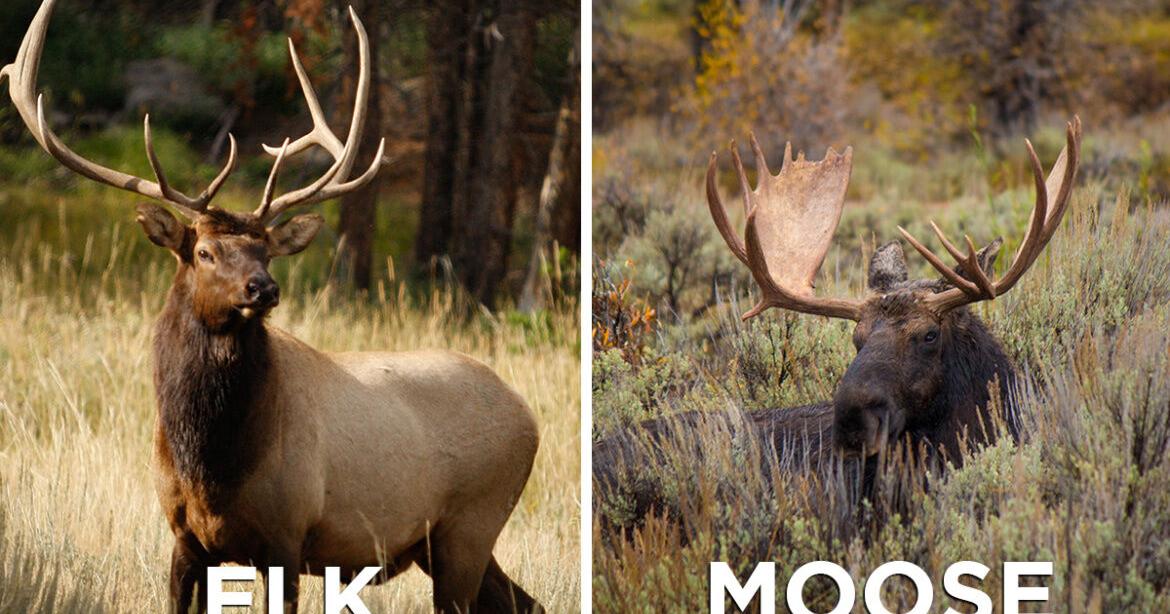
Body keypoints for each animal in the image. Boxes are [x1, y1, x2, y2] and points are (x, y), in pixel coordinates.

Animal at [2, 2, 541, 612]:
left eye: (265, 250)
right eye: (205, 252)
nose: (264, 288)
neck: (213, 469)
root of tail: (528, 415)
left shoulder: (286, 535)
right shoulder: (184, 538)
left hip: (470, 525)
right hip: (444, 543)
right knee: (526, 600)